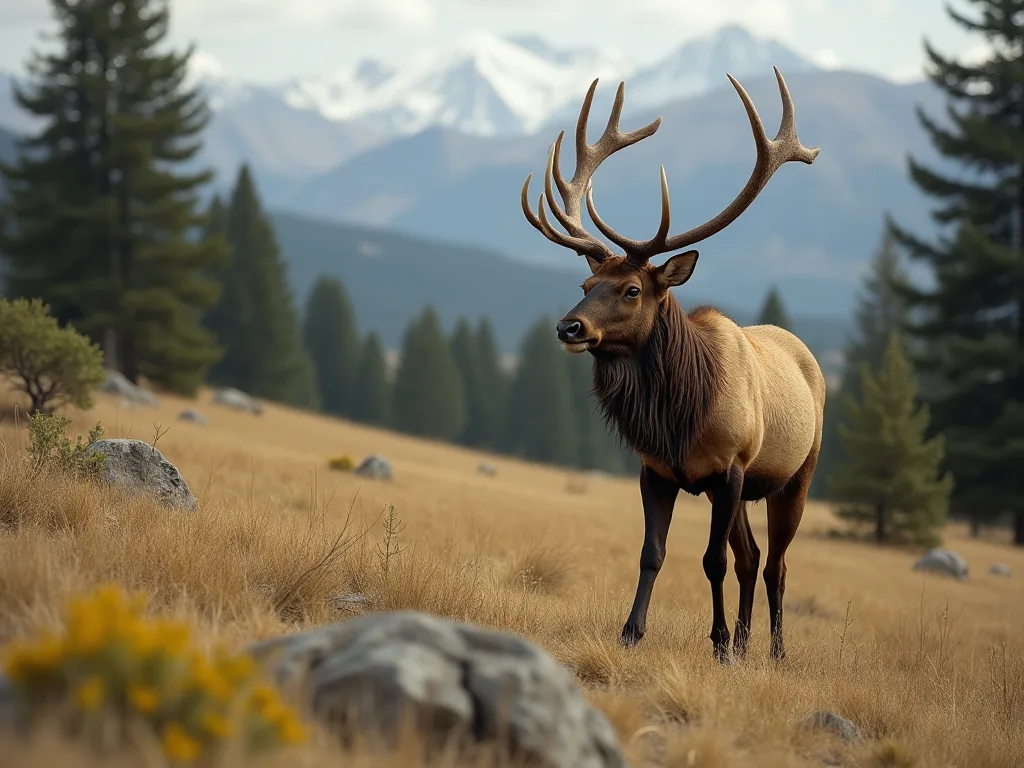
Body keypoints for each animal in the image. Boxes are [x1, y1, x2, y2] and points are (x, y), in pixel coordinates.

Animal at [520, 67, 824, 663]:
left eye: (633, 289)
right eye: (586, 284)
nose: (569, 328)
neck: (679, 418)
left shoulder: (730, 468)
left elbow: (712, 561)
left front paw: (719, 641)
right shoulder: (657, 470)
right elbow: (653, 553)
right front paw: (632, 631)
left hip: (795, 475)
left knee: (775, 563)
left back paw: (773, 651)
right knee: (754, 557)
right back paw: (748, 645)